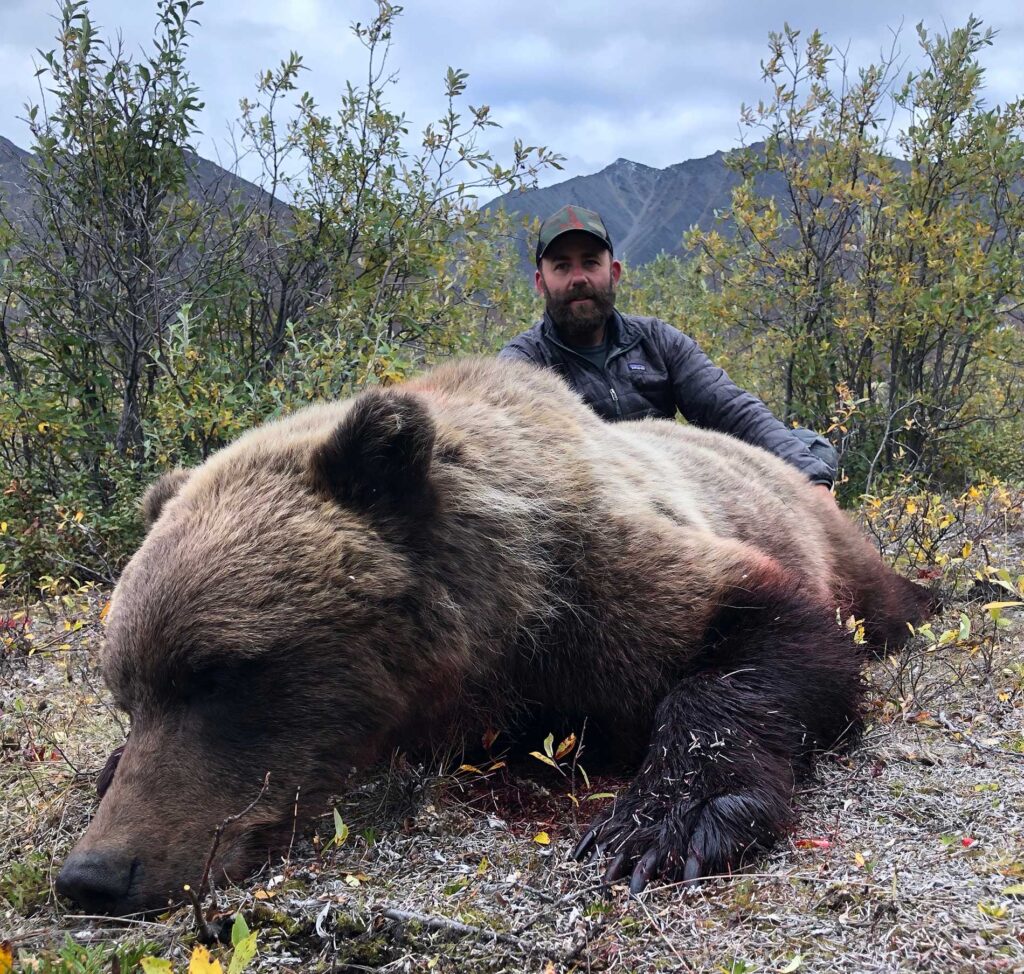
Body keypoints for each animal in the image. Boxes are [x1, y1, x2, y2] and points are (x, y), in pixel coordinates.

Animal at [56, 357, 931, 915]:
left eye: (219, 674)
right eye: (129, 693)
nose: (93, 876)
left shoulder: (598, 583)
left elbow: (774, 635)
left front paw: (666, 820)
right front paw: (107, 770)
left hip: (825, 535)